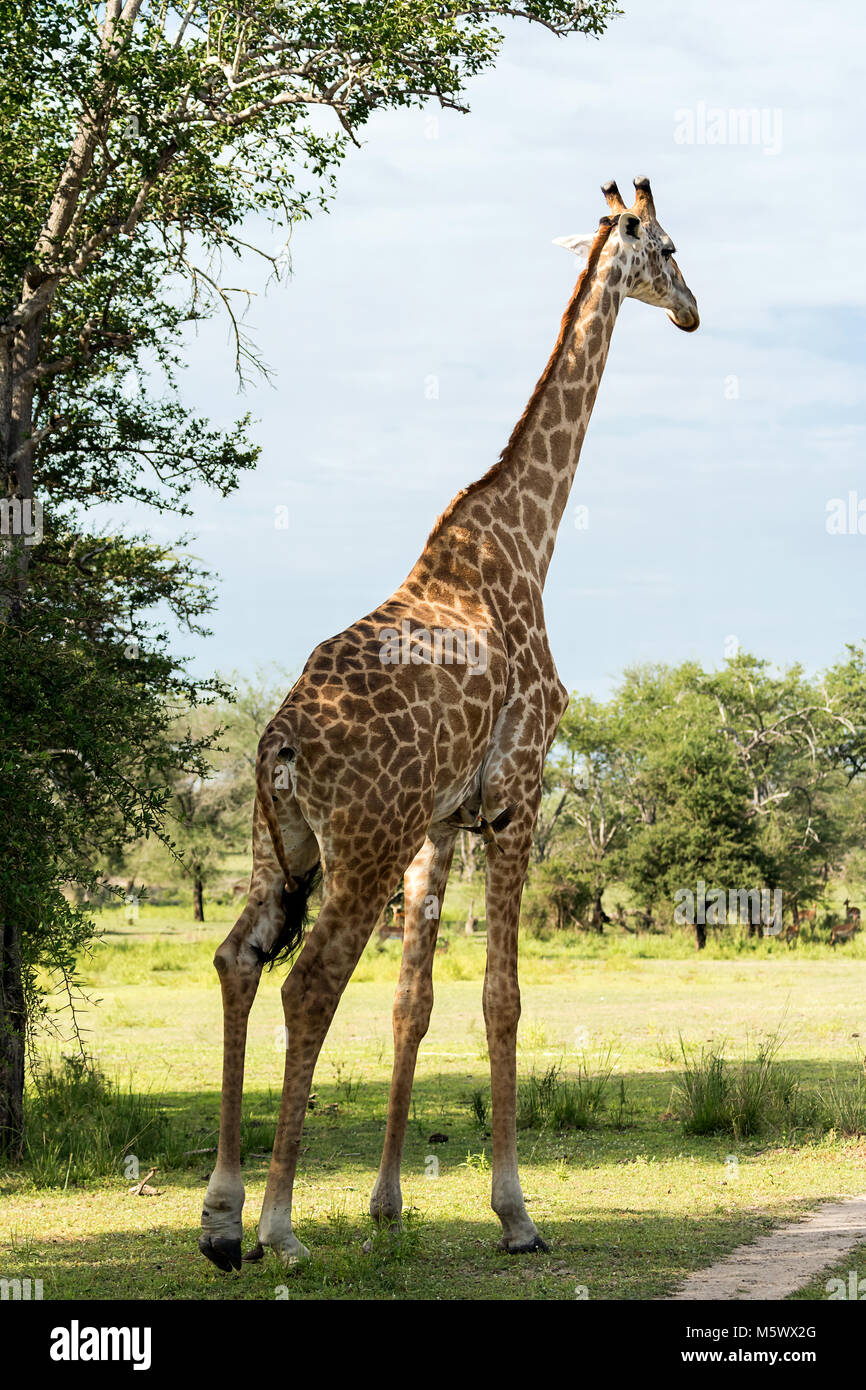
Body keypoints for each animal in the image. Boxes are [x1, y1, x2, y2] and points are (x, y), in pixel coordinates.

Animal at [199, 176, 699, 1271]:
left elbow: (412, 1003)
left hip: (278, 845)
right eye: (671, 247)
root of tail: (280, 745)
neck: (526, 536)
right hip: (362, 844)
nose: (693, 311)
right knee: (307, 984)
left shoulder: (440, 821)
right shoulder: (517, 795)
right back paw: (278, 1227)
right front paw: (515, 1213)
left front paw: (388, 1205)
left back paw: (219, 1219)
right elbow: (500, 998)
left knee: (237, 959)